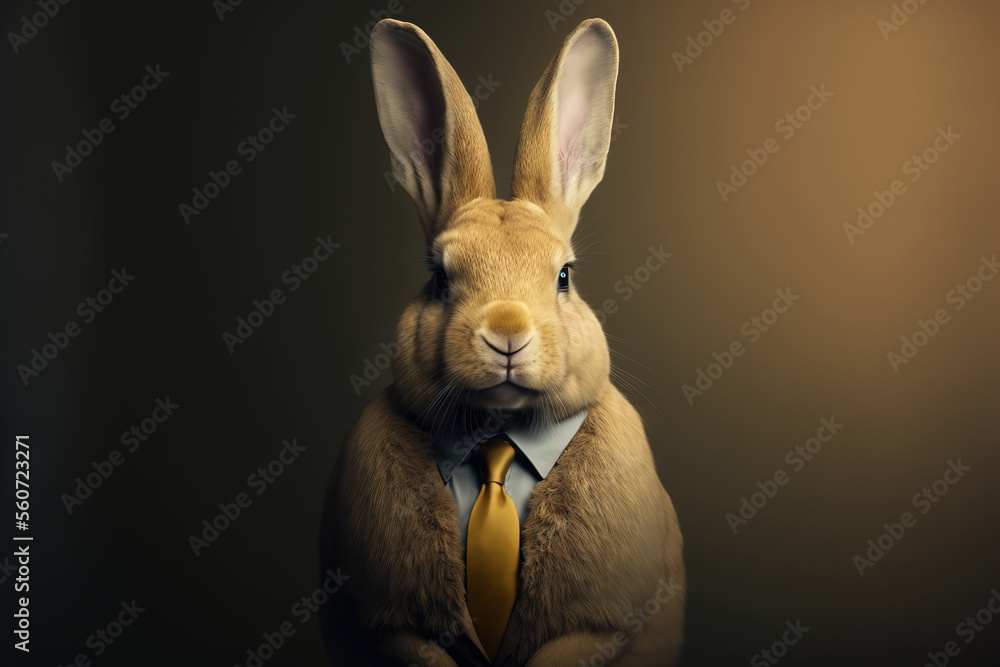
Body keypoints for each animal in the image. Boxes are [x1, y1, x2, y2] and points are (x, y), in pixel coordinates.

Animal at [320, 17, 685, 667]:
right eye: (439, 279)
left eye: (563, 276)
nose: (507, 334)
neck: (499, 435)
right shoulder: (392, 627)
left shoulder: (596, 625)